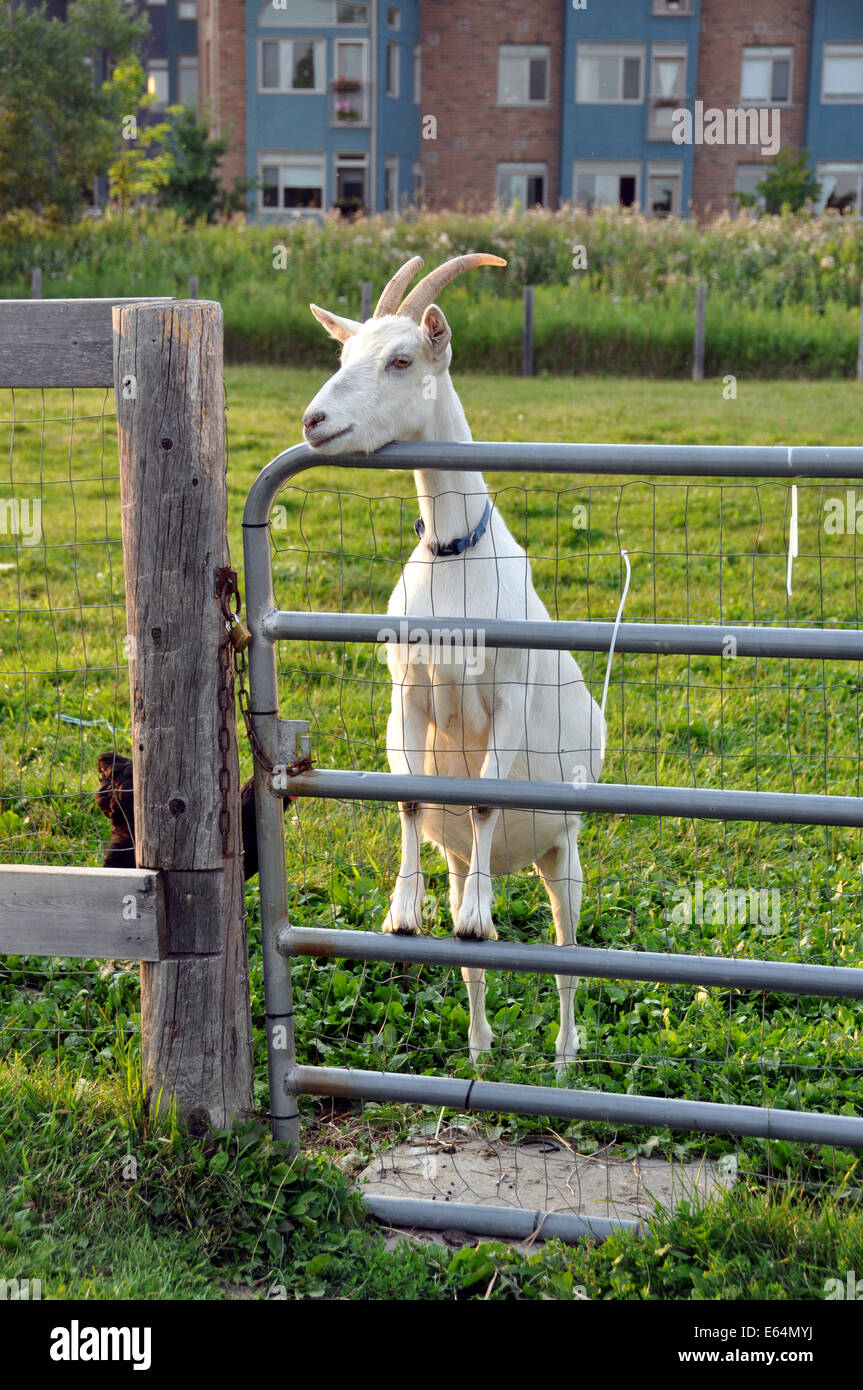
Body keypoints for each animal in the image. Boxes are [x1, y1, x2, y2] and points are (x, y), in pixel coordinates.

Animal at [301, 256, 605, 1069]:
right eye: (344, 353)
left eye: (402, 360)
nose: (313, 422)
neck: (454, 551)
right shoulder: (406, 694)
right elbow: (410, 798)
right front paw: (401, 913)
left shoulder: (507, 694)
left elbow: (482, 796)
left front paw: (473, 919)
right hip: (468, 858)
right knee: (473, 964)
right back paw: (478, 1047)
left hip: (563, 852)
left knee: (567, 953)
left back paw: (564, 1053)